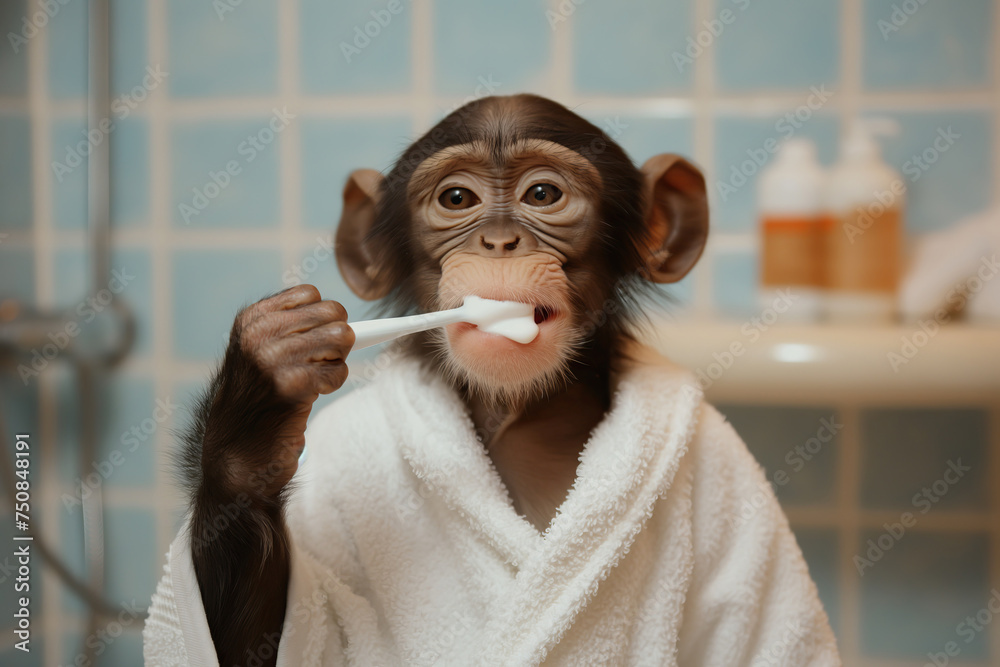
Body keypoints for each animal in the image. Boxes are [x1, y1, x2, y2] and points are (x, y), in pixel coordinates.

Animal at [147, 94, 839, 666]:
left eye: (543, 195)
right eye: (457, 200)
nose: (499, 242)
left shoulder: (734, 487)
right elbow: (289, 638)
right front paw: (261, 405)